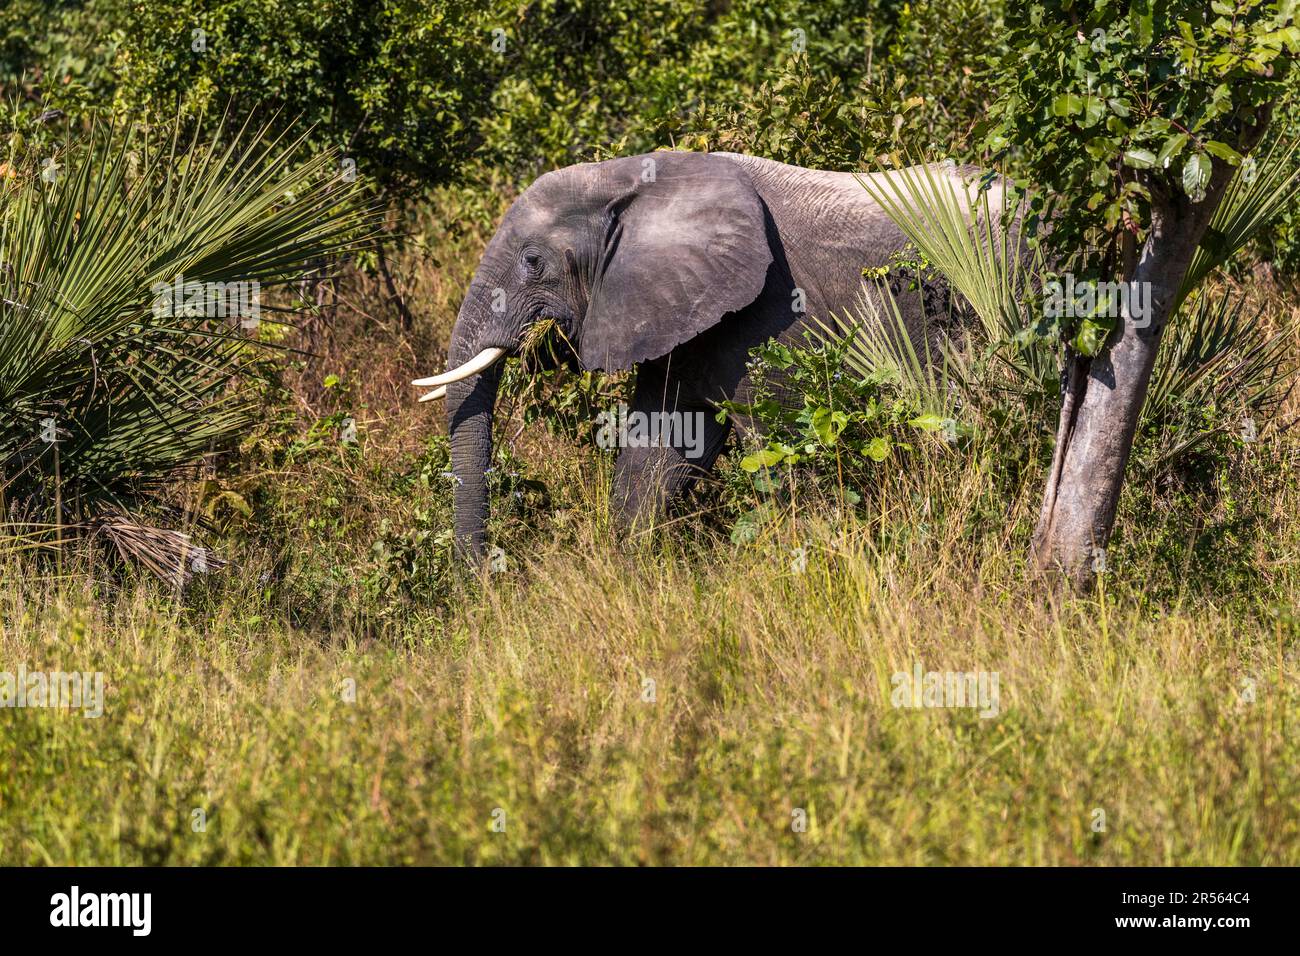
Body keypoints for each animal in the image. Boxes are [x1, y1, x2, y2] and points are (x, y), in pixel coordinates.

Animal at [414, 150, 1002, 558]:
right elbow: (657, 450)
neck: (627, 179)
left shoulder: (773, 311)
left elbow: (787, 449)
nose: (488, 576)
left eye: (532, 262)